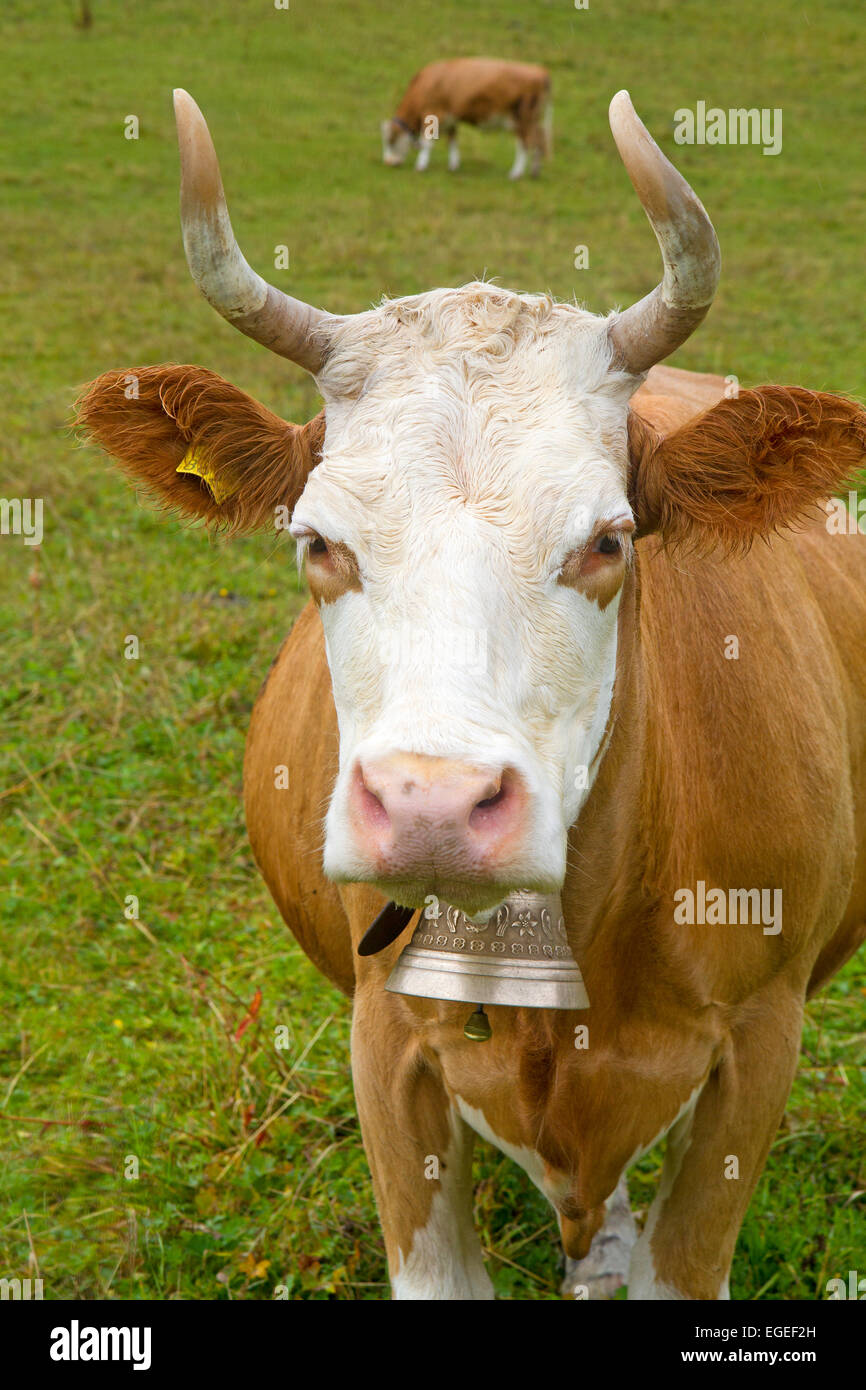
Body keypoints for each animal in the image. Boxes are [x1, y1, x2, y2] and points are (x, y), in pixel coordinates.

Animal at [381, 58, 551, 178]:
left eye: (390, 139)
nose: (388, 163)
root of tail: (539, 70)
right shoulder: (451, 118)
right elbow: (452, 141)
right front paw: (453, 165)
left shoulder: (433, 113)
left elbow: (427, 143)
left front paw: (420, 166)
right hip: (535, 120)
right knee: (540, 141)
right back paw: (534, 172)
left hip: (523, 119)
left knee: (526, 144)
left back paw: (516, 173)